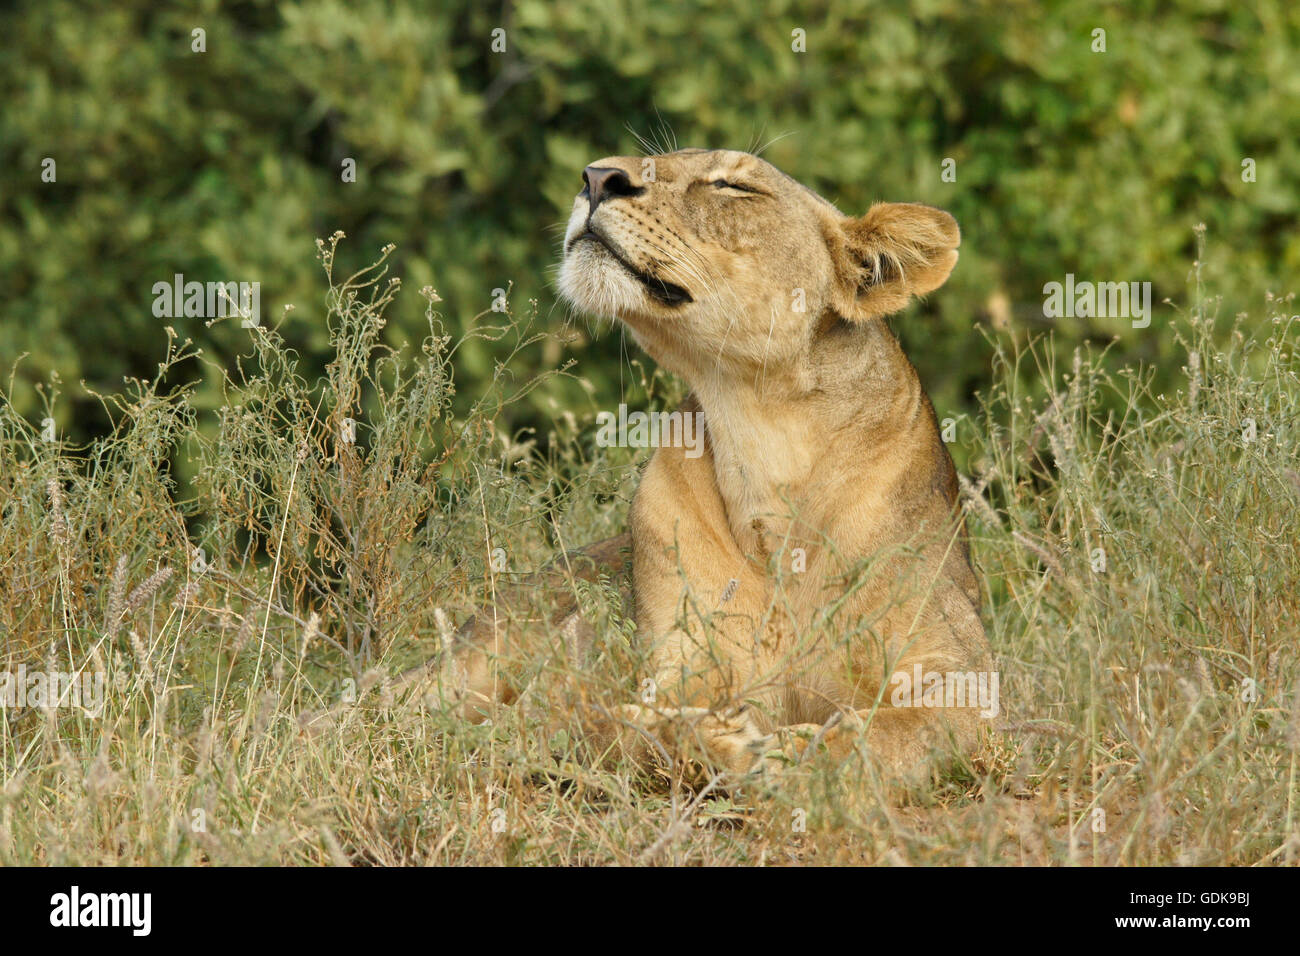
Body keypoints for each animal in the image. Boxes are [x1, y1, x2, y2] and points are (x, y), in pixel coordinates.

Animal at [391, 149, 994, 787]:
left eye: (733, 186)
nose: (596, 178)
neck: (760, 438)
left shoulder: (964, 675)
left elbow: (890, 734)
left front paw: (792, 754)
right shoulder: (675, 665)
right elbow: (622, 721)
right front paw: (730, 744)